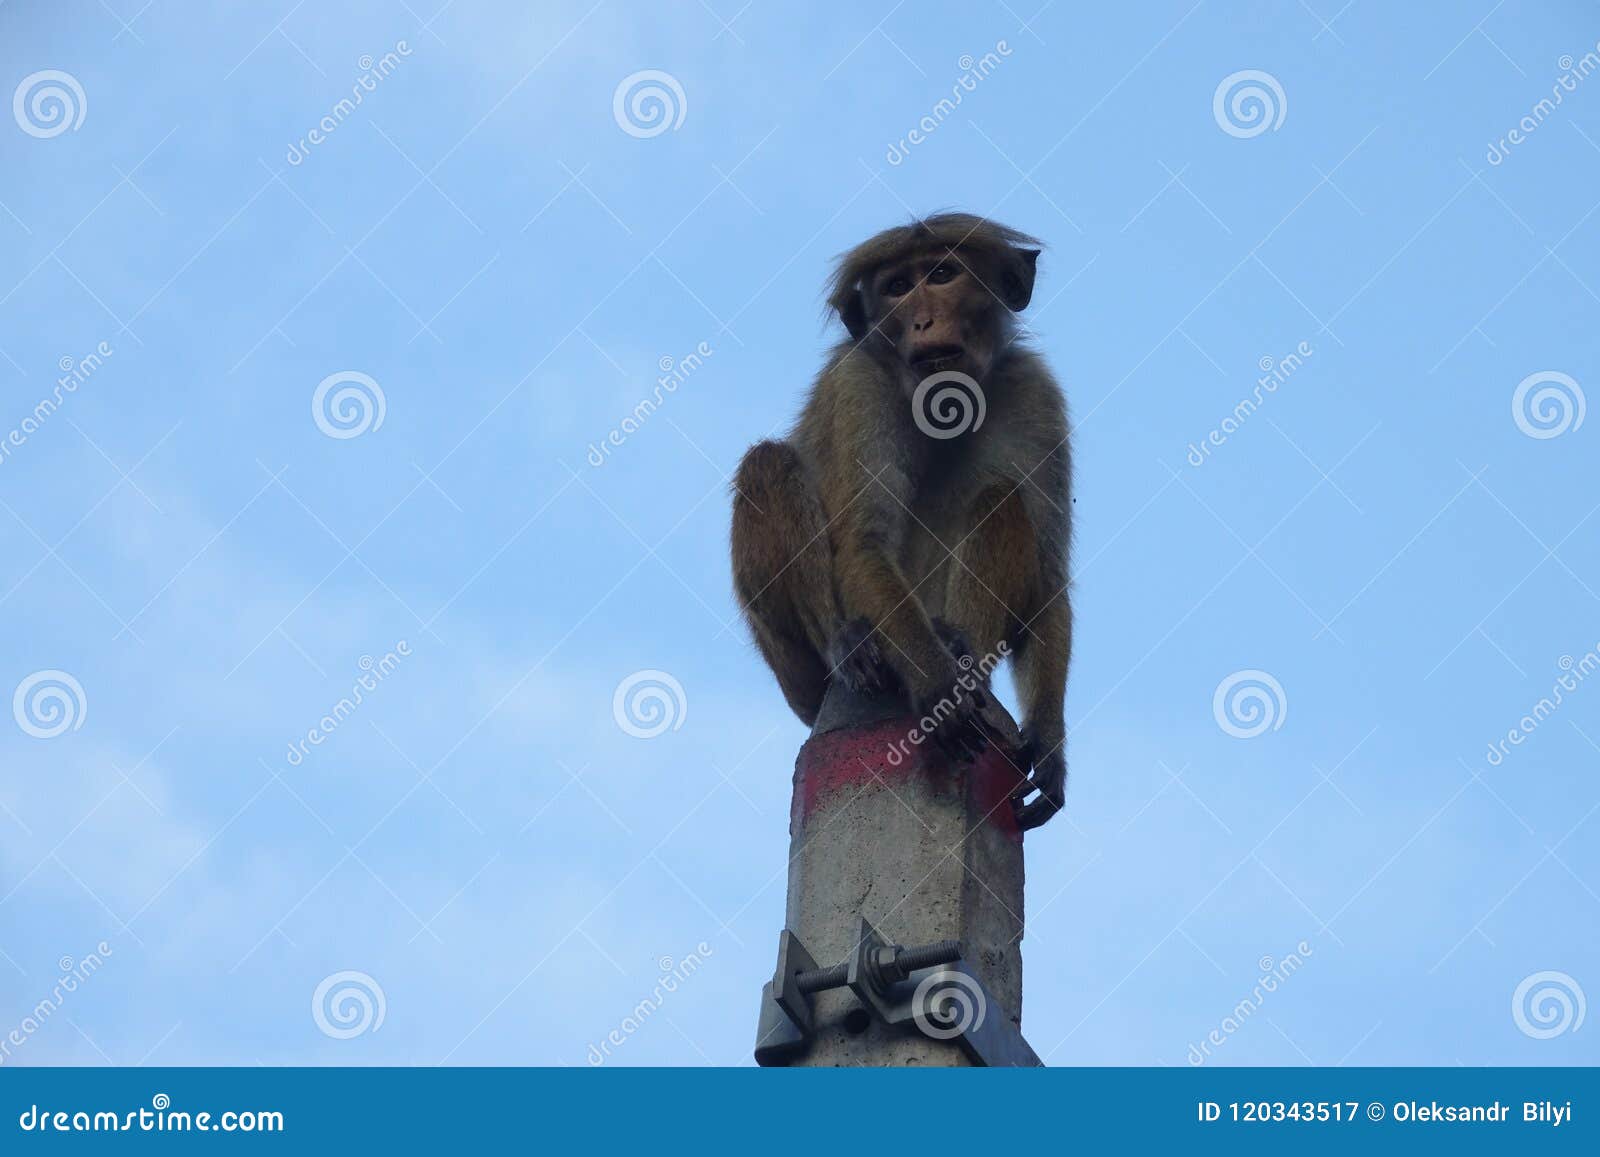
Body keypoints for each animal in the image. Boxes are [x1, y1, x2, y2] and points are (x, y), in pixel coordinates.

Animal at [729, 213, 1073, 831]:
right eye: (895, 287)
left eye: (941, 275)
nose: (921, 318)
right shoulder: (859, 382)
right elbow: (864, 541)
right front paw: (937, 687)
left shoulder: (1035, 392)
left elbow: (1050, 581)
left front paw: (1051, 745)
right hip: (795, 671)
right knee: (766, 462)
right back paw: (852, 645)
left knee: (1001, 496)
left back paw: (959, 646)